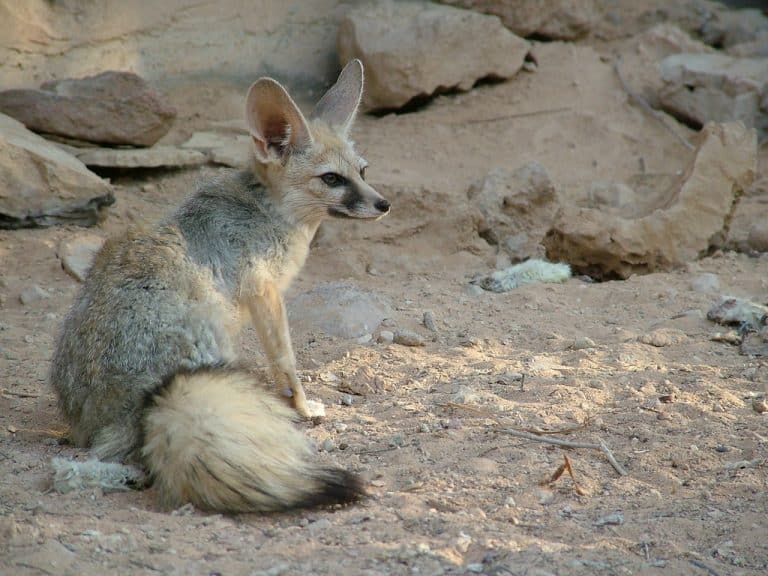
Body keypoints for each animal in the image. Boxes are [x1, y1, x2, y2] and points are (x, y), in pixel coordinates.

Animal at [49, 59, 390, 513]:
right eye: (332, 179)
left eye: (363, 172)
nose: (384, 204)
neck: (266, 209)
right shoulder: (265, 292)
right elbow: (285, 361)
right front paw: (301, 405)